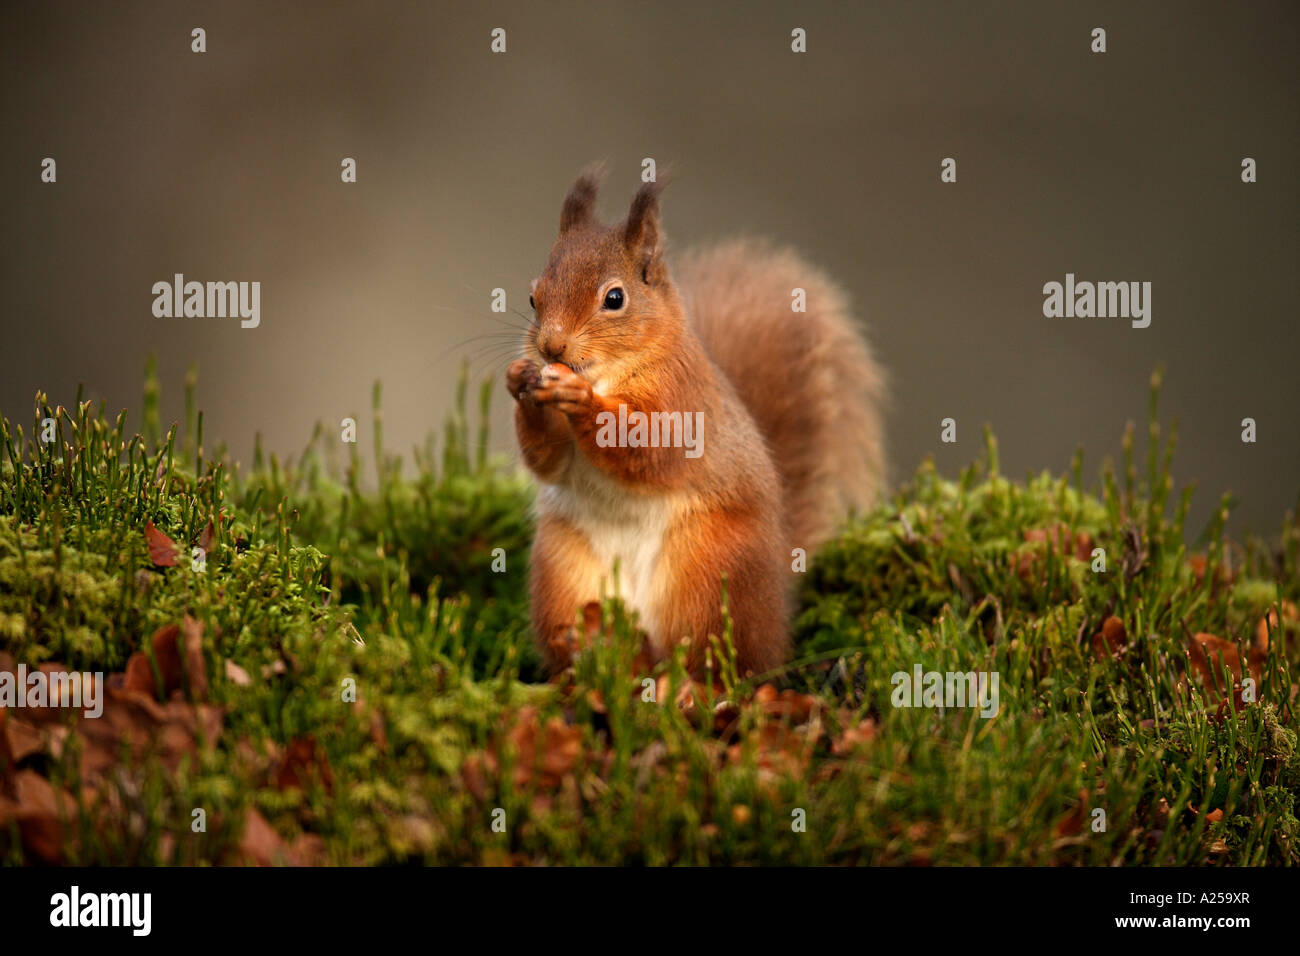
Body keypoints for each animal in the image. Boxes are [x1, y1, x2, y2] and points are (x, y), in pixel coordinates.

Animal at [507, 168, 886, 677]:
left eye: (614, 298)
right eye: (533, 297)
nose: (550, 348)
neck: (609, 374)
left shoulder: (681, 403)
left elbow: (648, 450)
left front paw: (581, 401)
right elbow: (546, 459)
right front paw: (521, 384)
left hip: (710, 571)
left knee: (723, 662)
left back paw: (686, 683)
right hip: (564, 573)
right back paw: (587, 661)